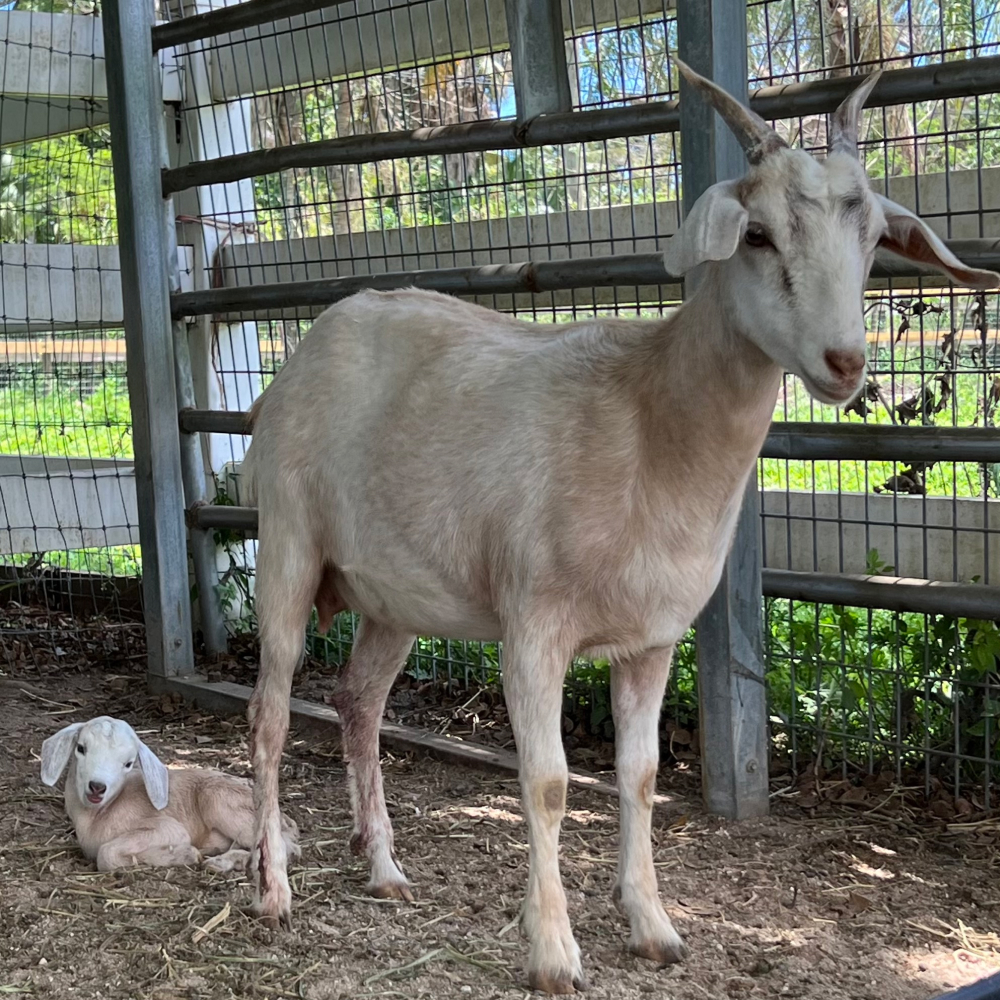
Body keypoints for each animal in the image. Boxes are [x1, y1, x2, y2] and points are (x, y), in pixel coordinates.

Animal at [40, 716, 298, 873]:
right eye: (80, 748)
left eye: (128, 763)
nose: (97, 787)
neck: (96, 816)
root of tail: (286, 818)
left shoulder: (168, 827)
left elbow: (107, 853)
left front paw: (185, 854)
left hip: (221, 801)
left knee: (287, 847)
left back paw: (220, 862)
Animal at [239, 60, 998, 994]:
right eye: (757, 236)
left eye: (872, 239)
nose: (845, 363)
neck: (649, 421)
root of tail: (308, 348)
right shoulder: (534, 623)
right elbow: (549, 782)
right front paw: (554, 953)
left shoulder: (654, 636)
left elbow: (639, 776)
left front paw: (653, 926)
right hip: (287, 538)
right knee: (271, 712)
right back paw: (273, 889)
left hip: (392, 593)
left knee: (358, 704)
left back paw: (382, 867)